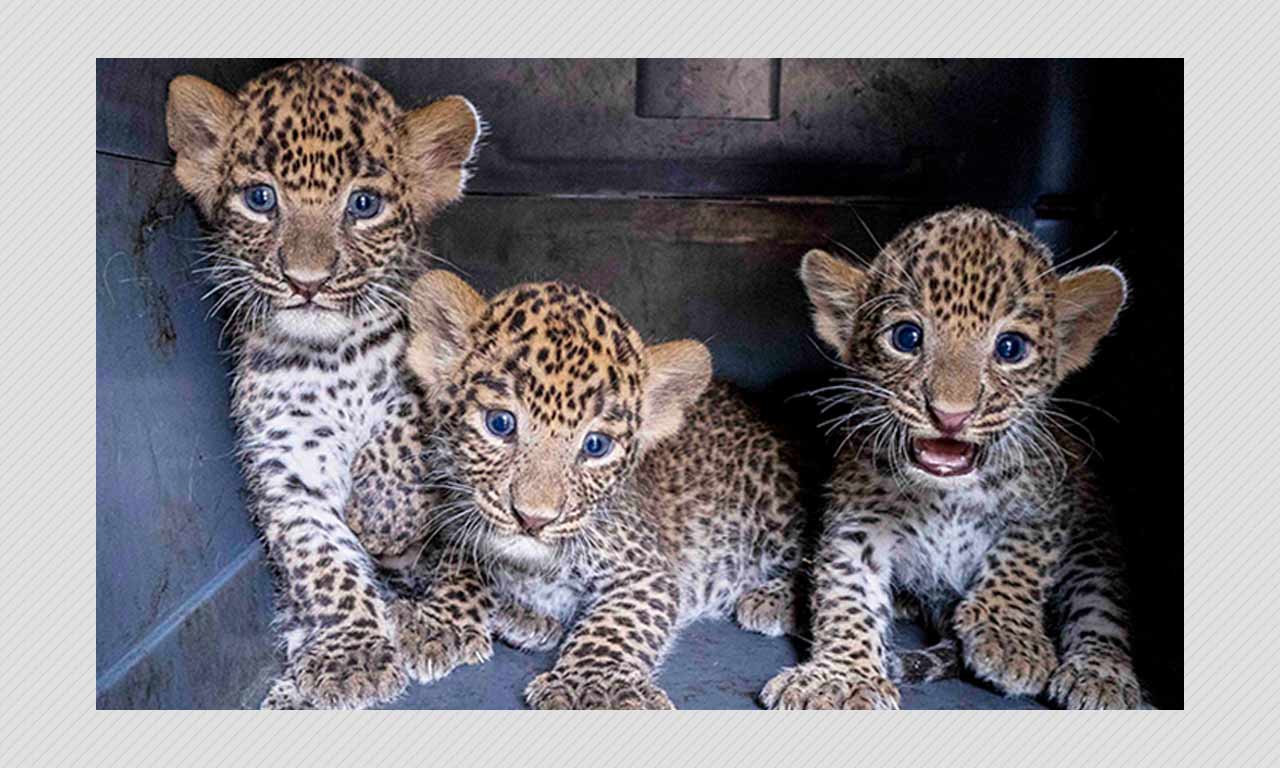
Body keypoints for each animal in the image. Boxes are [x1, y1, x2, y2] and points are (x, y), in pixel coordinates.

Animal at [165, 59, 483, 709]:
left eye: (363, 204)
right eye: (261, 199)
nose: (306, 281)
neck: (330, 358)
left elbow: (402, 428)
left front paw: (381, 518)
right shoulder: (286, 467)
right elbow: (321, 558)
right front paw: (350, 656)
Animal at [390, 270, 807, 709]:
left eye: (595, 446)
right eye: (500, 423)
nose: (533, 519)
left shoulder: (645, 570)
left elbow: (616, 624)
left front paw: (594, 684)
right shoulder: (456, 524)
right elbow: (459, 570)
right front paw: (437, 621)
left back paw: (772, 600)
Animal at [761, 206, 1142, 710]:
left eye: (1010, 348)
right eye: (907, 337)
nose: (950, 414)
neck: (946, 498)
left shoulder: (1049, 501)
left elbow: (1022, 555)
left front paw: (1007, 635)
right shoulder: (858, 521)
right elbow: (848, 591)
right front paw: (839, 677)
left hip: (1095, 546)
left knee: (1100, 609)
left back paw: (1102, 674)